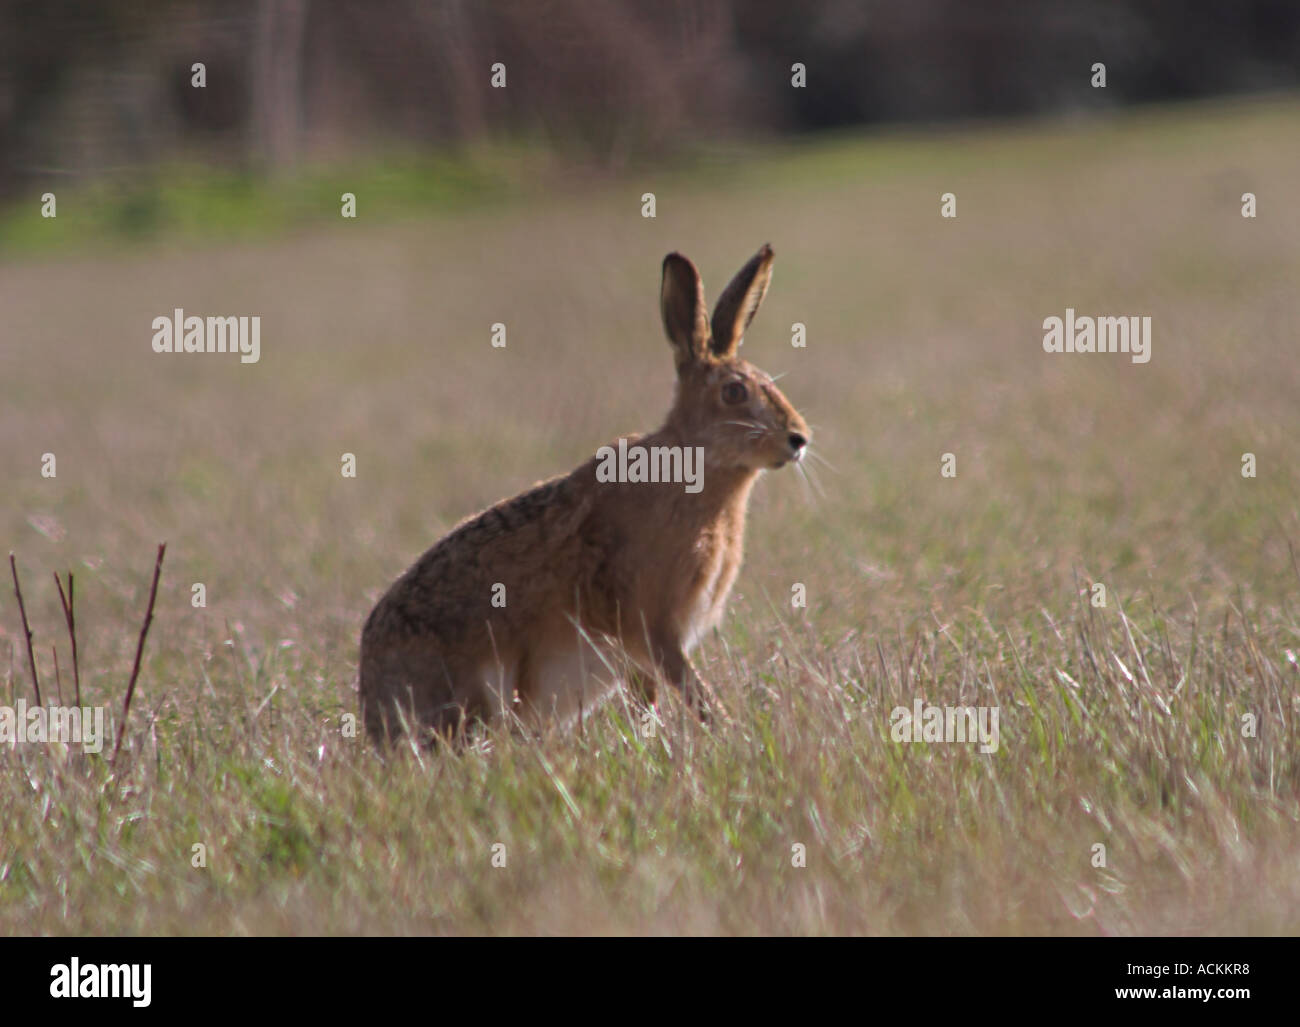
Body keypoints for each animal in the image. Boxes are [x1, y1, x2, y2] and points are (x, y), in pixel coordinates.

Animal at [359, 244, 810, 743]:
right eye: (733, 392)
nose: (798, 439)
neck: (702, 468)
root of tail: (372, 709)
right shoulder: (654, 626)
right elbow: (690, 689)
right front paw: (727, 730)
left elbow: (649, 699)